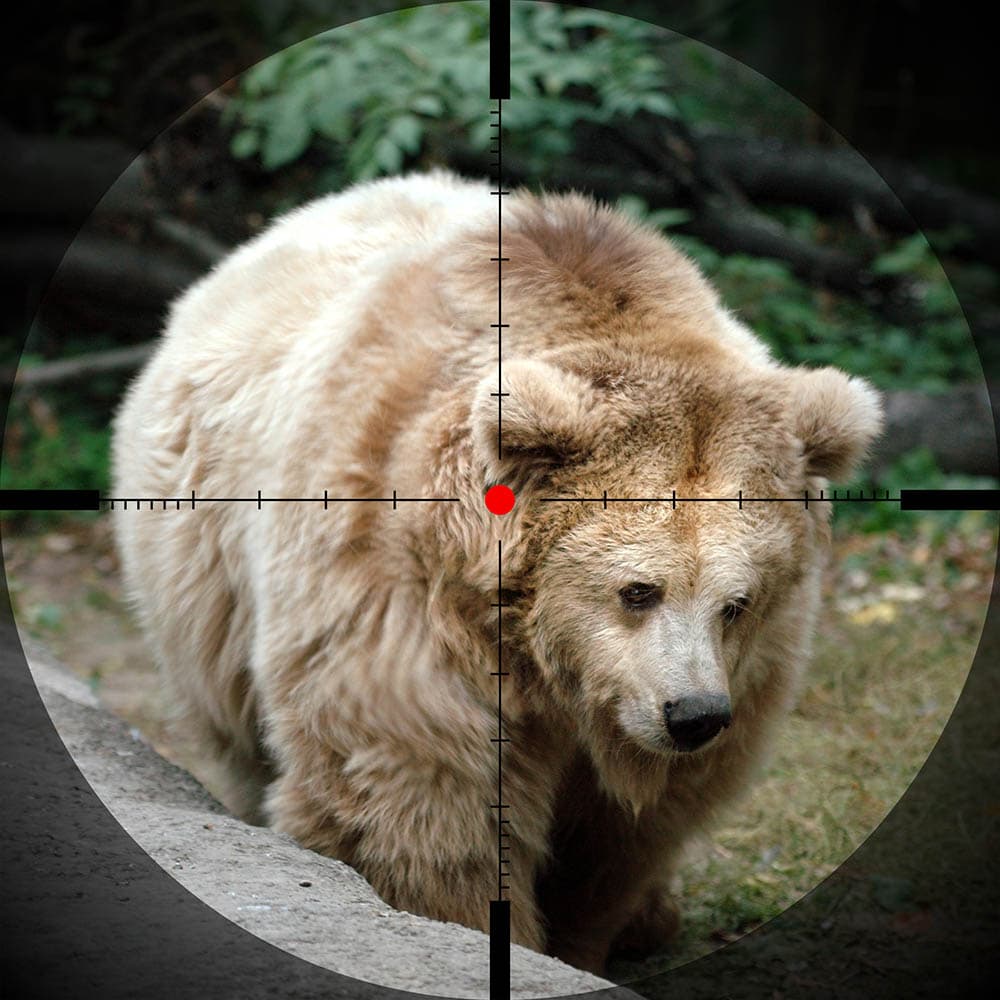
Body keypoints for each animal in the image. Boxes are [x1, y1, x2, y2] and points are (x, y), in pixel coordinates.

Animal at [111, 171, 882, 975]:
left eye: (738, 602)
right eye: (638, 591)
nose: (694, 715)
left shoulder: (739, 677)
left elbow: (619, 834)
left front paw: (593, 930)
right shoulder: (400, 600)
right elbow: (426, 793)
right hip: (202, 564)